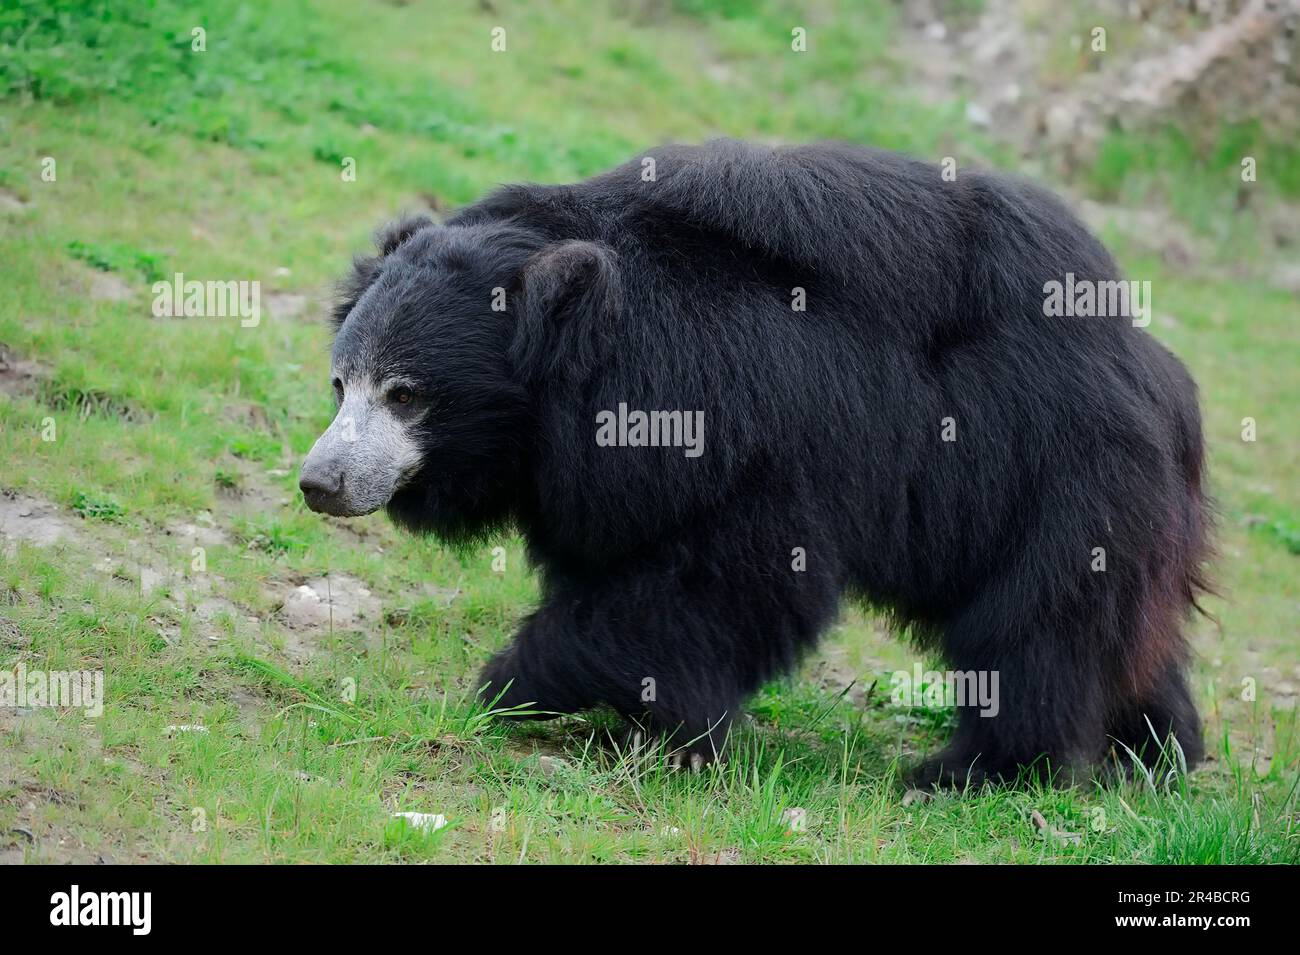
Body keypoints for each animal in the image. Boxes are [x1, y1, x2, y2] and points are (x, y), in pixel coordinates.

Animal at [300, 139, 1210, 786]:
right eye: (343, 383)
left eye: (407, 395)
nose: (320, 483)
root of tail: (1153, 370)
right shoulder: (600, 476)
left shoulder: (739, 432)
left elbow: (721, 583)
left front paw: (525, 688)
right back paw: (1156, 753)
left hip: (1053, 474)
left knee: (1033, 627)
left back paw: (977, 770)